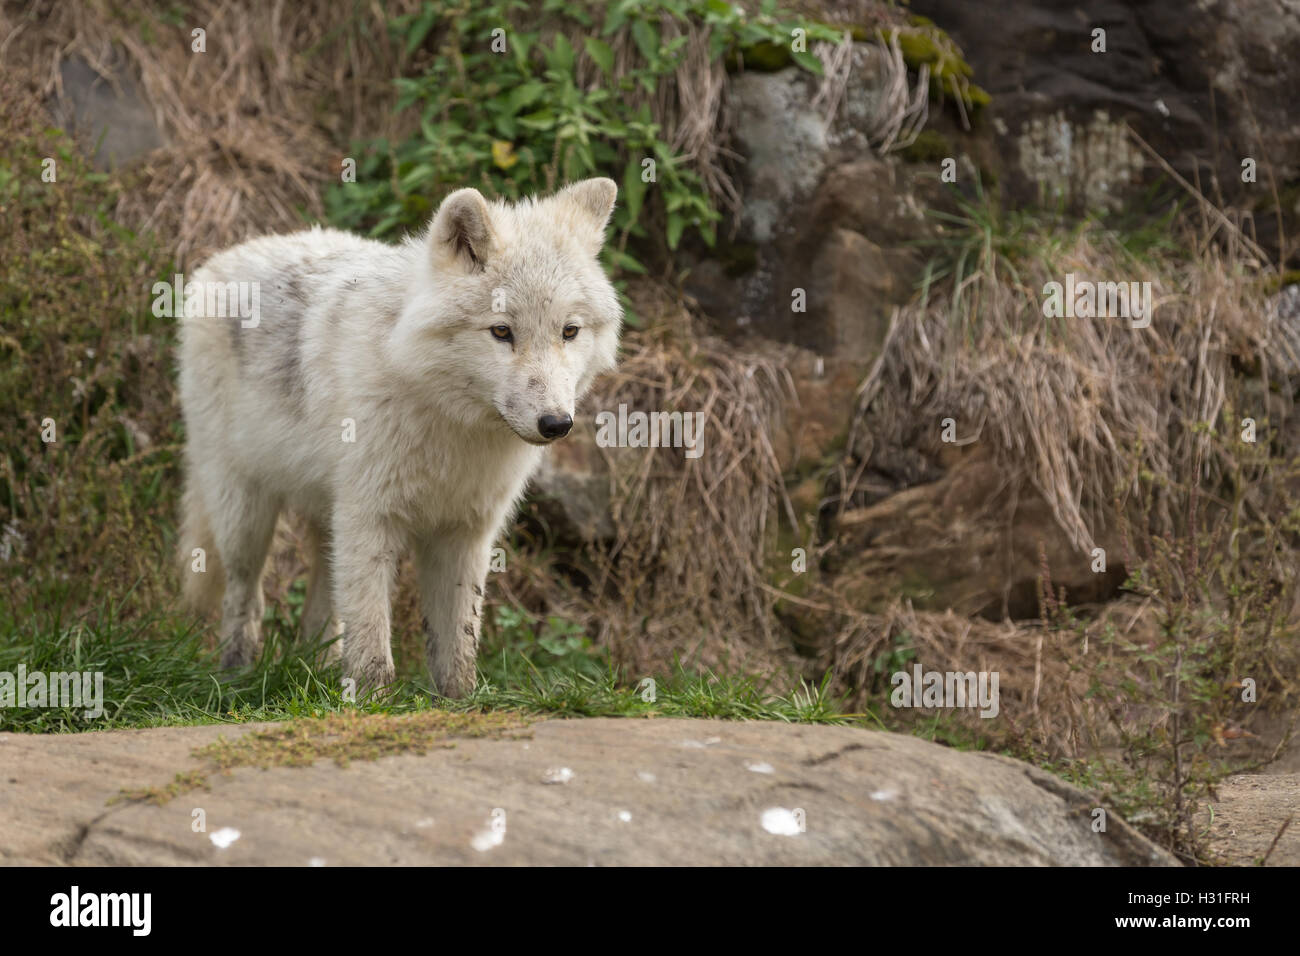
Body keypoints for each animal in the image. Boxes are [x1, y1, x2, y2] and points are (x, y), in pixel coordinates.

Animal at [177, 178, 621, 696]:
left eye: (569, 332)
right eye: (501, 331)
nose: (555, 423)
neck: (453, 424)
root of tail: (220, 258)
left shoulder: (466, 532)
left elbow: (457, 641)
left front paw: (460, 701)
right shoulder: (369, 516)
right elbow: (372, 635)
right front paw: (371, 701)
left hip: (325, 519)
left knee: (322, 604)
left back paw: (317, 671)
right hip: (246, 516)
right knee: (244, 595)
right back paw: (237, 675)